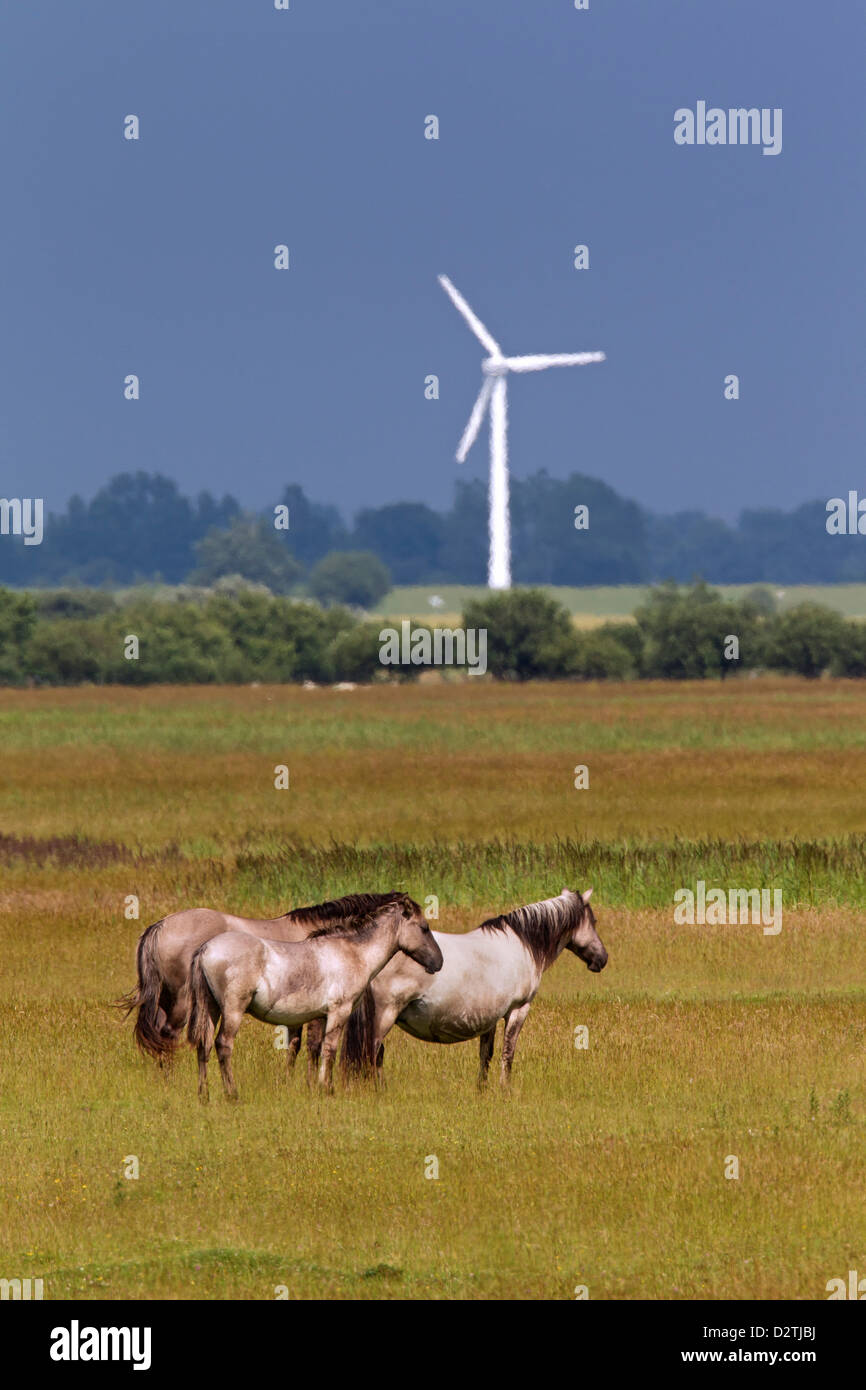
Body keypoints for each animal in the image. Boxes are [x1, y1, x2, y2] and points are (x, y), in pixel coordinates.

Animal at [117, 891, 412, 1066]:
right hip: (182, 1002)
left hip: (166, 1000)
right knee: (169, 1035)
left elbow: (295, 1045)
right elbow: (313, 1047)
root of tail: (160, 926)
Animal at [187, 894, 442, 1097]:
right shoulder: (338, 1012)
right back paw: (232, 1093)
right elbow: (329, 1049)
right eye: (424, 927)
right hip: (233, 1010)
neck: (353, 953)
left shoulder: (319, 1016)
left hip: (212, 1009)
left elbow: (316, 1049)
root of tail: (206, 948)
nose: (438, 962)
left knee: (204, 1045)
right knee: (223, 1044)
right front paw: (326, 1088)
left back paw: (204, 1094)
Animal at [343, 888, 606, 1087]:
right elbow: (508, 1054)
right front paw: (505, 1089)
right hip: (384, 1016)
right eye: (593, 921)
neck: (523, 944)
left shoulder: (490, 1017)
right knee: (372, 1053)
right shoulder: (518, 1010)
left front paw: (482, 1089)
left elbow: (485, 1056)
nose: (602, 959)